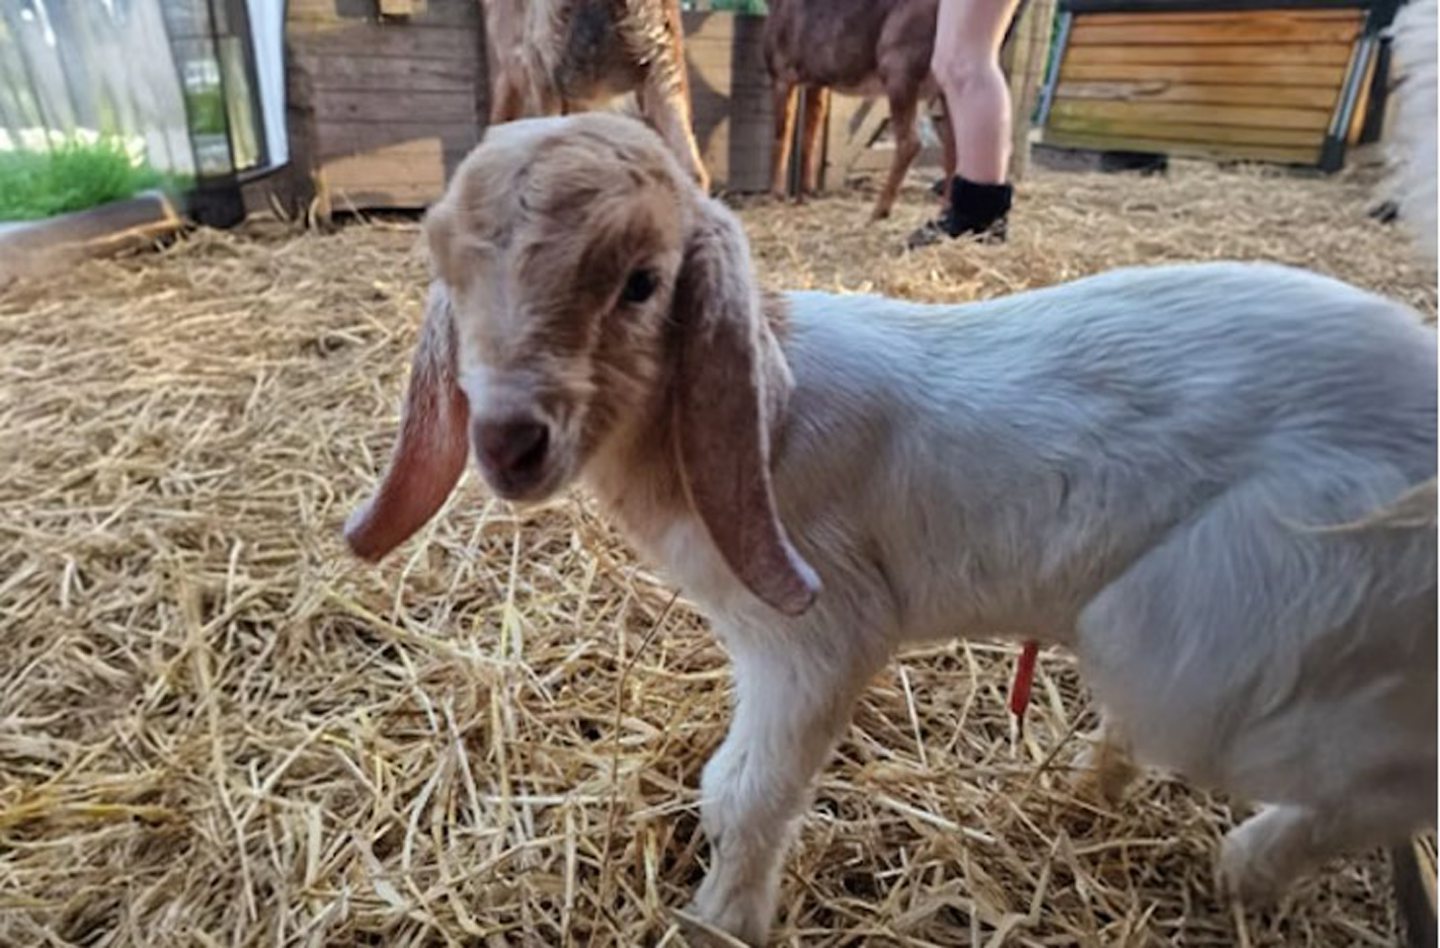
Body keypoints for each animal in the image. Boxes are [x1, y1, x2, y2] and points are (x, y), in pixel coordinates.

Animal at [344, 113, 1437, 946]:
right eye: (448, 271)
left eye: (641, 282)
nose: (509, 443)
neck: (771, 417)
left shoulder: (819, 635)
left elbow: (742, 791)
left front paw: (719, 921)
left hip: (1226, 644)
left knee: (1385, 780)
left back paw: (1247, 863)